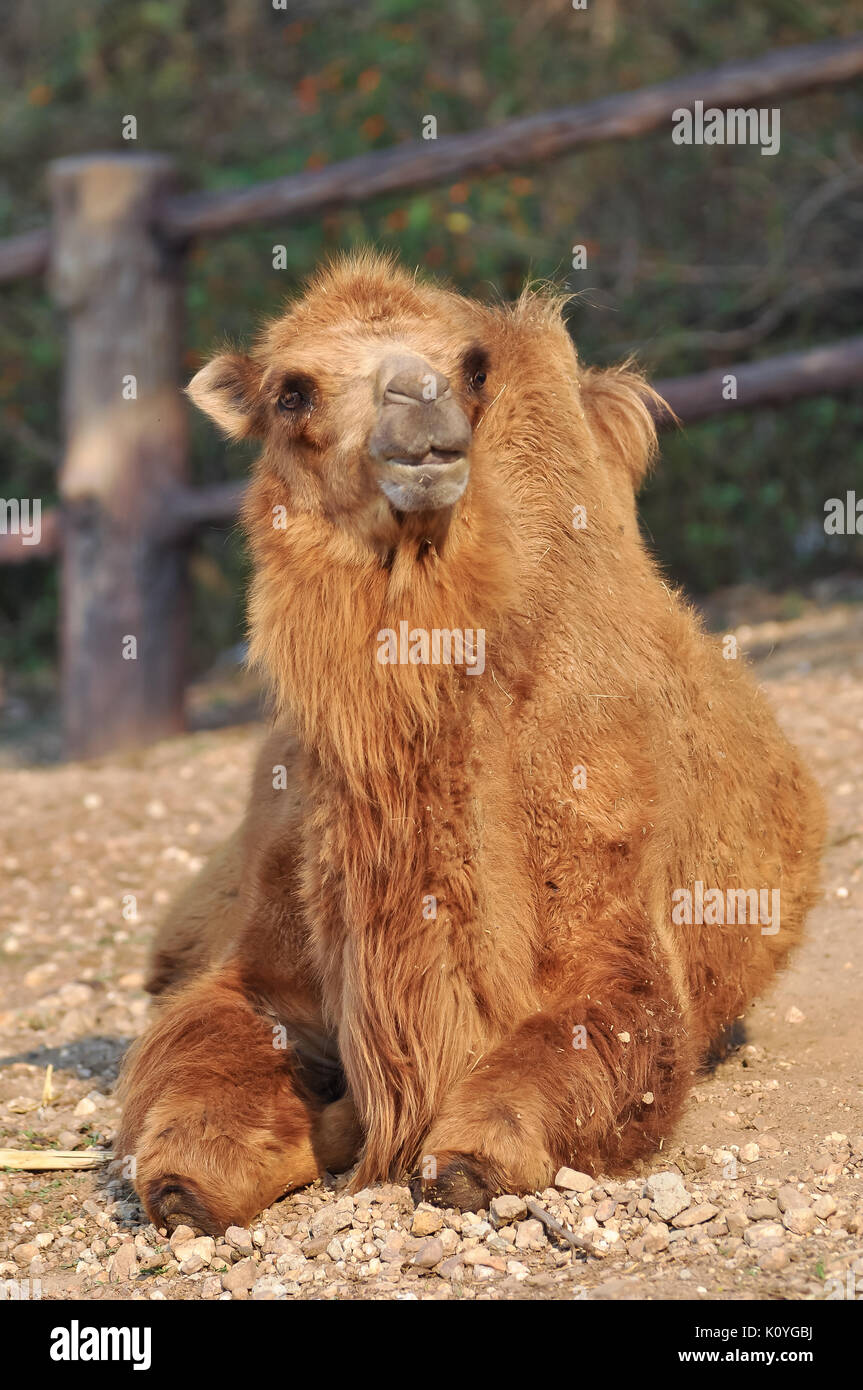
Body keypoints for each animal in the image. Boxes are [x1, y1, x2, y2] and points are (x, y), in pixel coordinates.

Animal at [116, 253, 825, 1235]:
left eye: (472, 367)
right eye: (291, 392)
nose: (419, 405)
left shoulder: (620, 942)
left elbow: (557, 1086)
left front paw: (452, 1153)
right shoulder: (256, 967)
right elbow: (190, 1085)